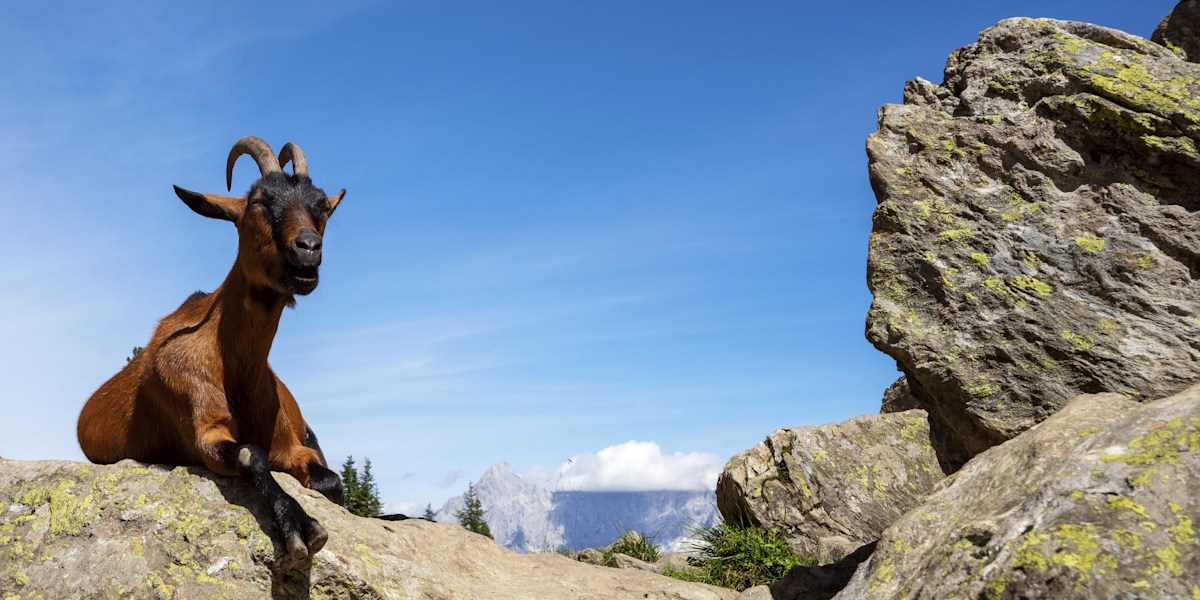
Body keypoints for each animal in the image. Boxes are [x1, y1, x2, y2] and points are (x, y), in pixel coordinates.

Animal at [77, 136, 347, 569]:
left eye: (322, 205)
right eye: (259, 202)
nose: (308, 249)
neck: (235, 364)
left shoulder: (292, 446)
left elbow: (330, 480)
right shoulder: (201, 426)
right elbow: (250, 454)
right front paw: (297, 524)